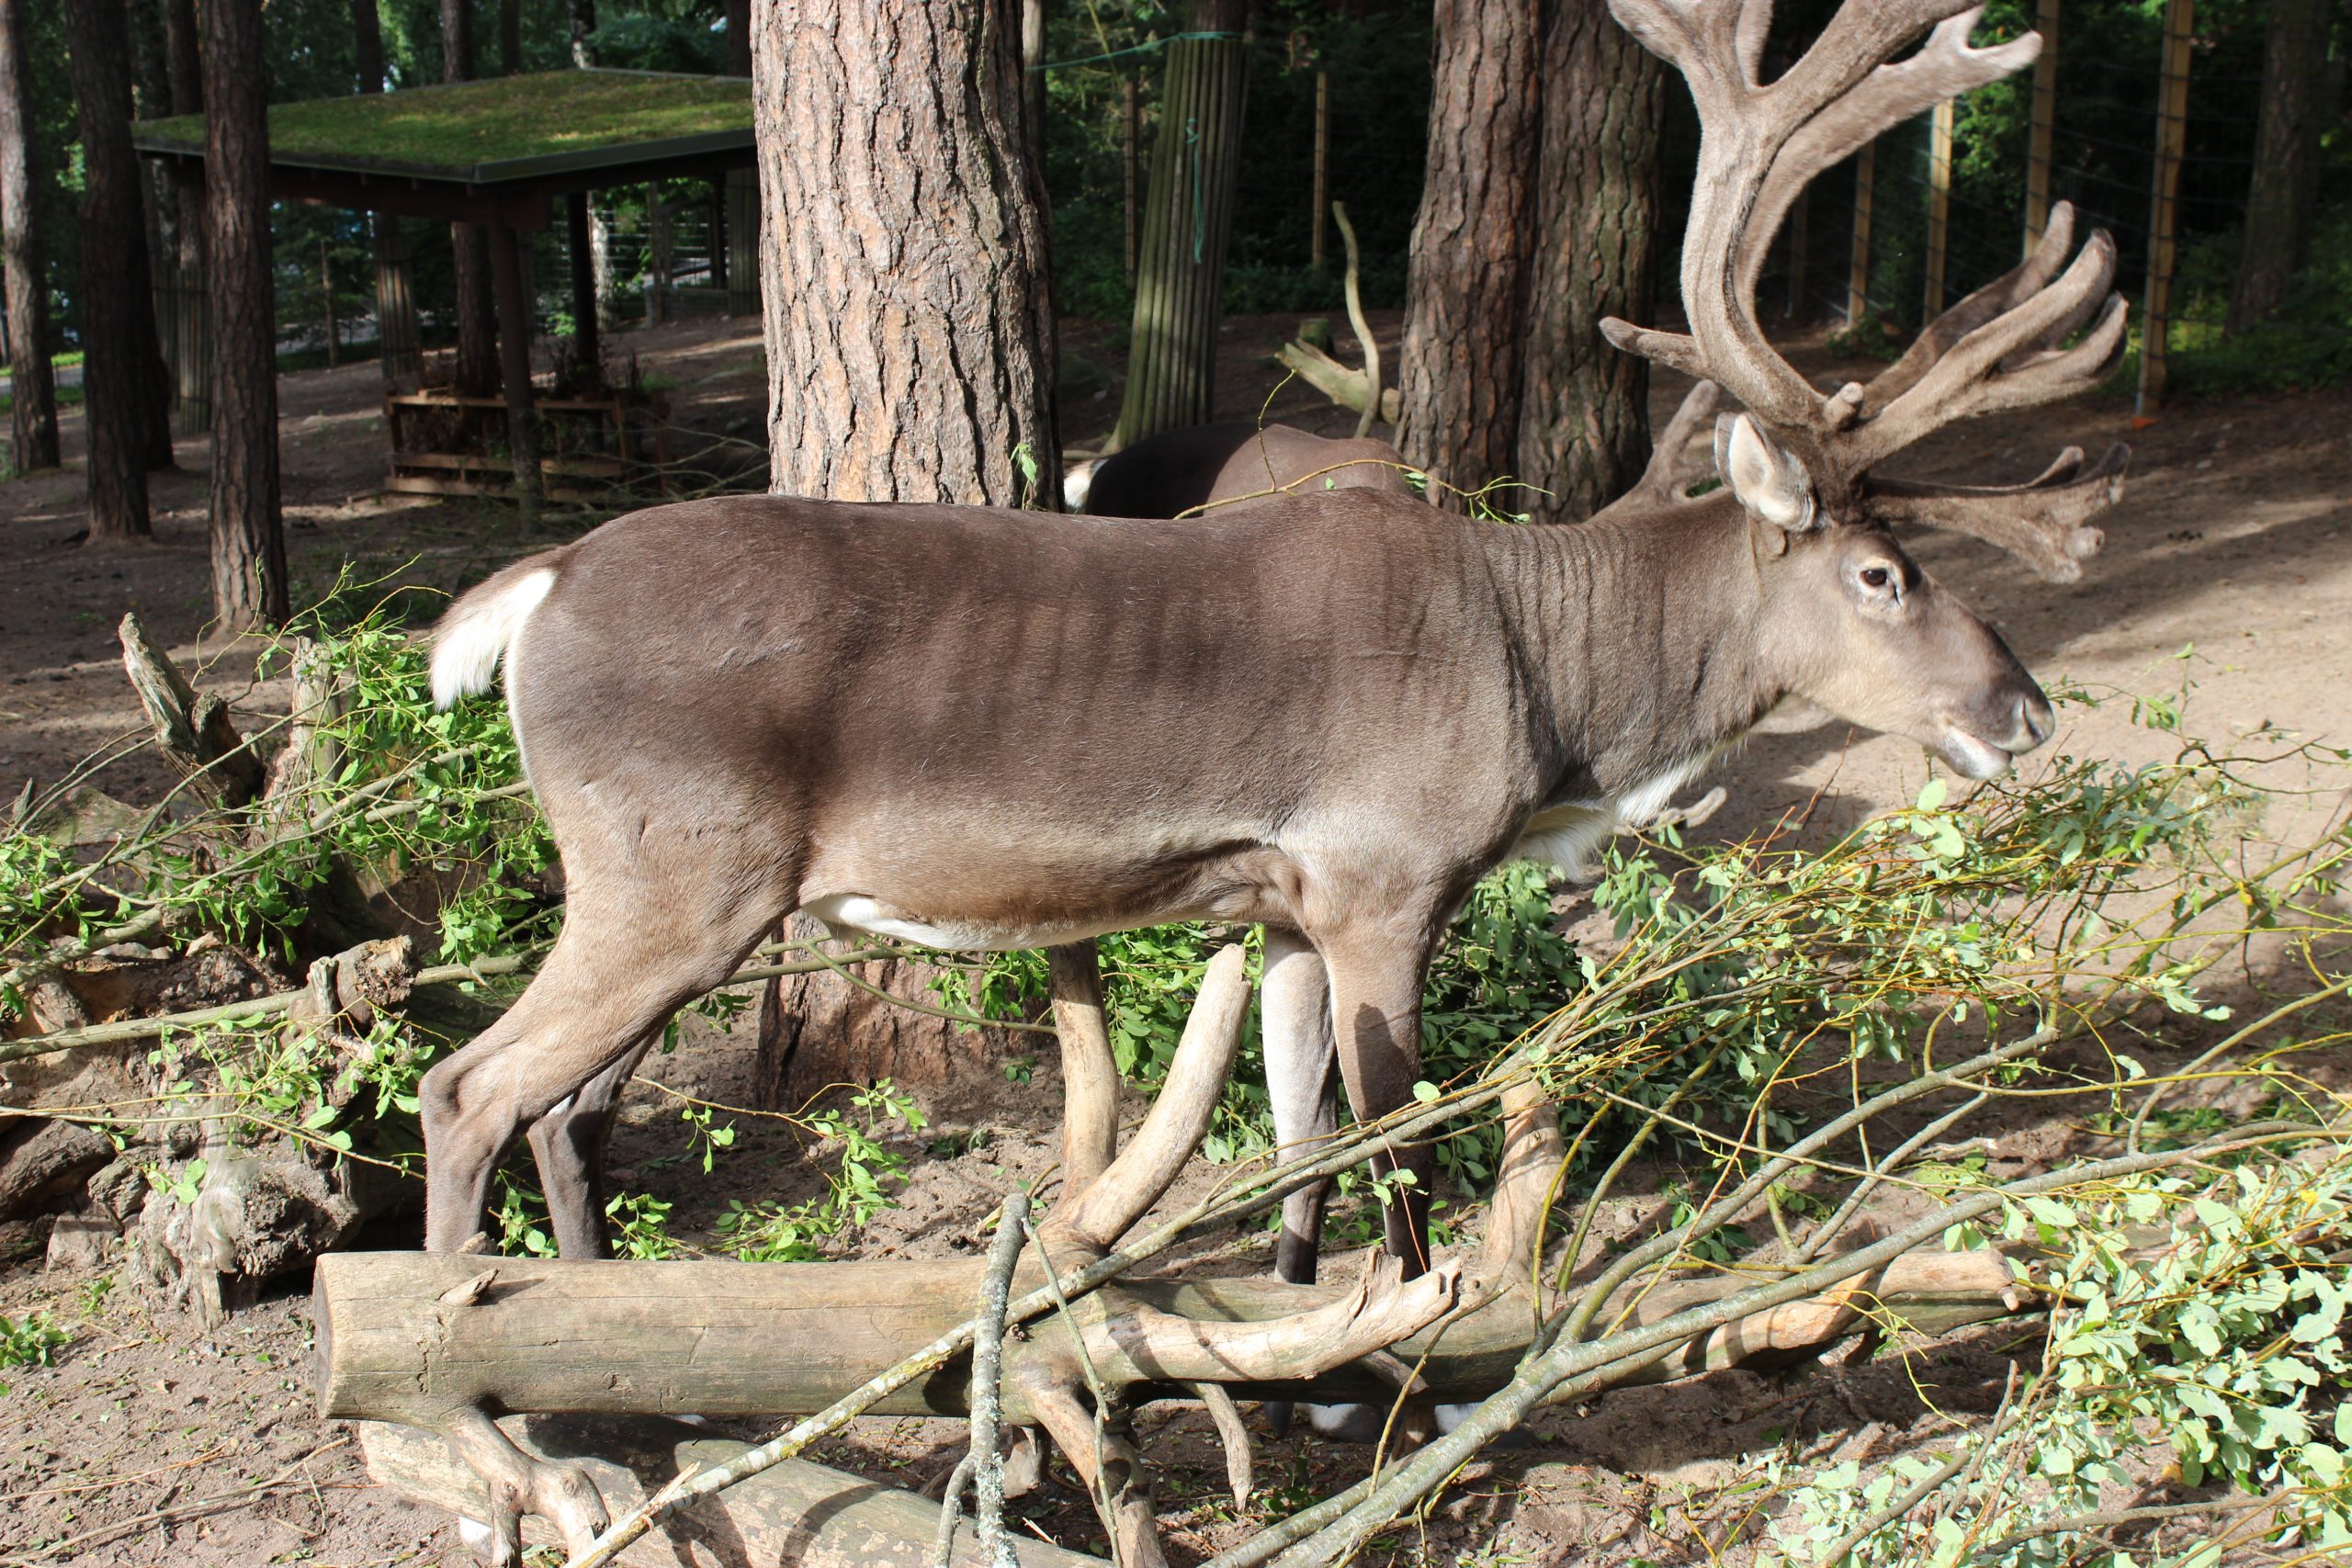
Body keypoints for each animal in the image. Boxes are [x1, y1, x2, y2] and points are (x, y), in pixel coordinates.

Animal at [419, 0, 2128, 1462]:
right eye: (1883, 571)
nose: (2025, 707)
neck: (1552, 690)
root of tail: (534, 586)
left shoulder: (1287, 904)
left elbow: (1301, 1124)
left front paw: (1310, 1360)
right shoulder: (1384, 880)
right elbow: (1399, 1137)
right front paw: (1416, 1383)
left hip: (692, 893)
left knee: (564, 1108)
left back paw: (629, 1378)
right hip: (671, 878)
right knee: (473, 1087)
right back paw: (470, 1402)